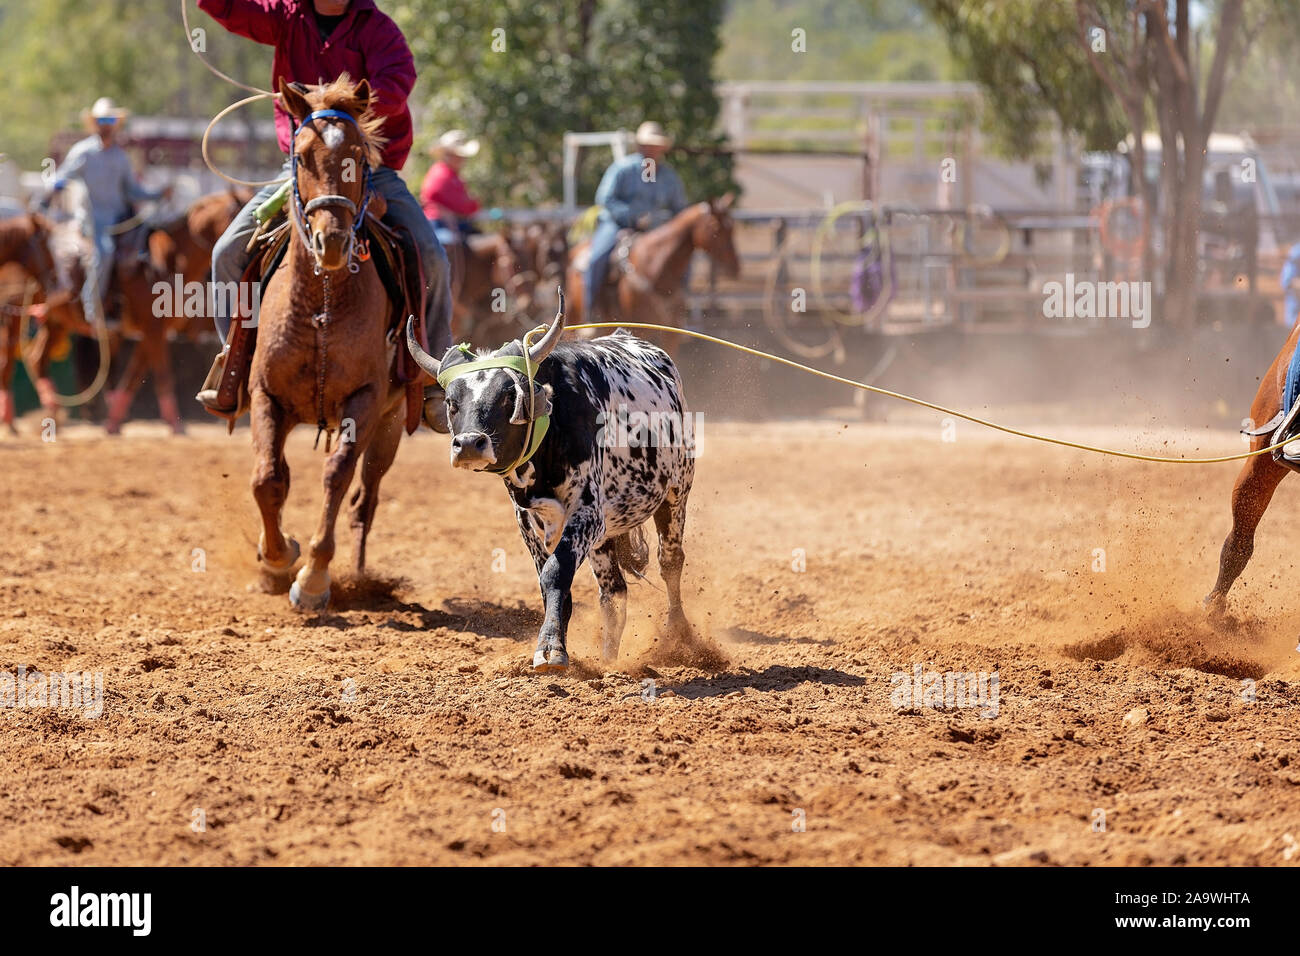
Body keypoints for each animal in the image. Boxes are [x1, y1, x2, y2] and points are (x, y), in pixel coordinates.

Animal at [406, 293, 696, 672]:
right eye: (452, 402)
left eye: (507, 396)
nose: (469, 444)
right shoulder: (528, 521)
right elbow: (551, 584)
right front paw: (557, 643)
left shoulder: (586, 513)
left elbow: (556, 574)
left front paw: (549, 649)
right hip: (605, 535)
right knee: (614, 591)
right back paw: (609, 660)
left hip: (675, 494)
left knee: (670, 561)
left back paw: (678, 634)